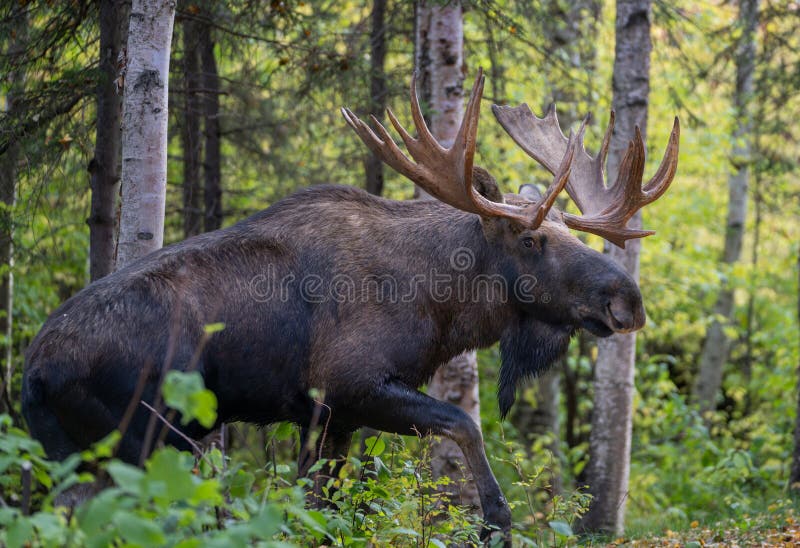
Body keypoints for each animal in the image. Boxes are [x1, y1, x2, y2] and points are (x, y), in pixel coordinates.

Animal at [22, 69, 678, 544]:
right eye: (532, 239)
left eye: (570, 230)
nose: (629, 301)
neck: (440, 306)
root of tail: (31, 376)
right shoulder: (347, 387)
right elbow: (463, 425)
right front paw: (495, 522)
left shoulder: (333, 417)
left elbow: (324, 510)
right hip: (145, 439)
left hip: (82, 453)